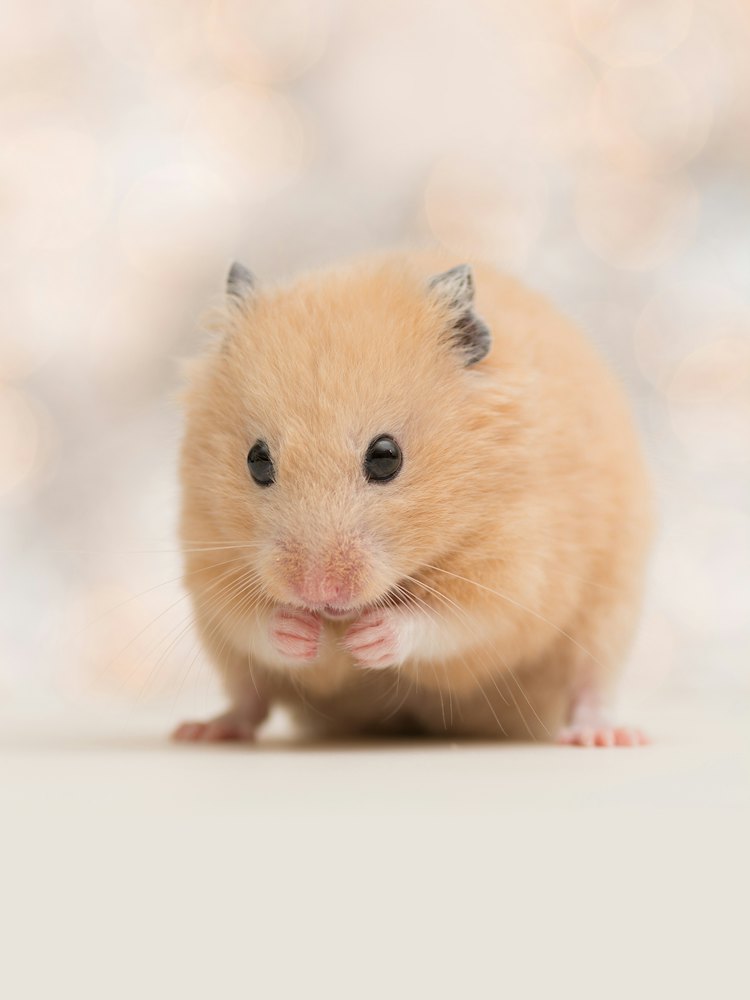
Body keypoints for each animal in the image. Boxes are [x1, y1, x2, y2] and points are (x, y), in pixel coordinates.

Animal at [173, 251, 653, 747]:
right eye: (256, 461)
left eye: (386, 457)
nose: (318, 593)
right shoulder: (207, 556)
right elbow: (248, 621)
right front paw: (303, 633)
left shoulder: (515, 568)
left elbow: (450, 619)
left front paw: (366, 639)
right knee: (249, 698)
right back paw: (203, 730)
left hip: (608, 618)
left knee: (589, 686)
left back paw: (605, 736)